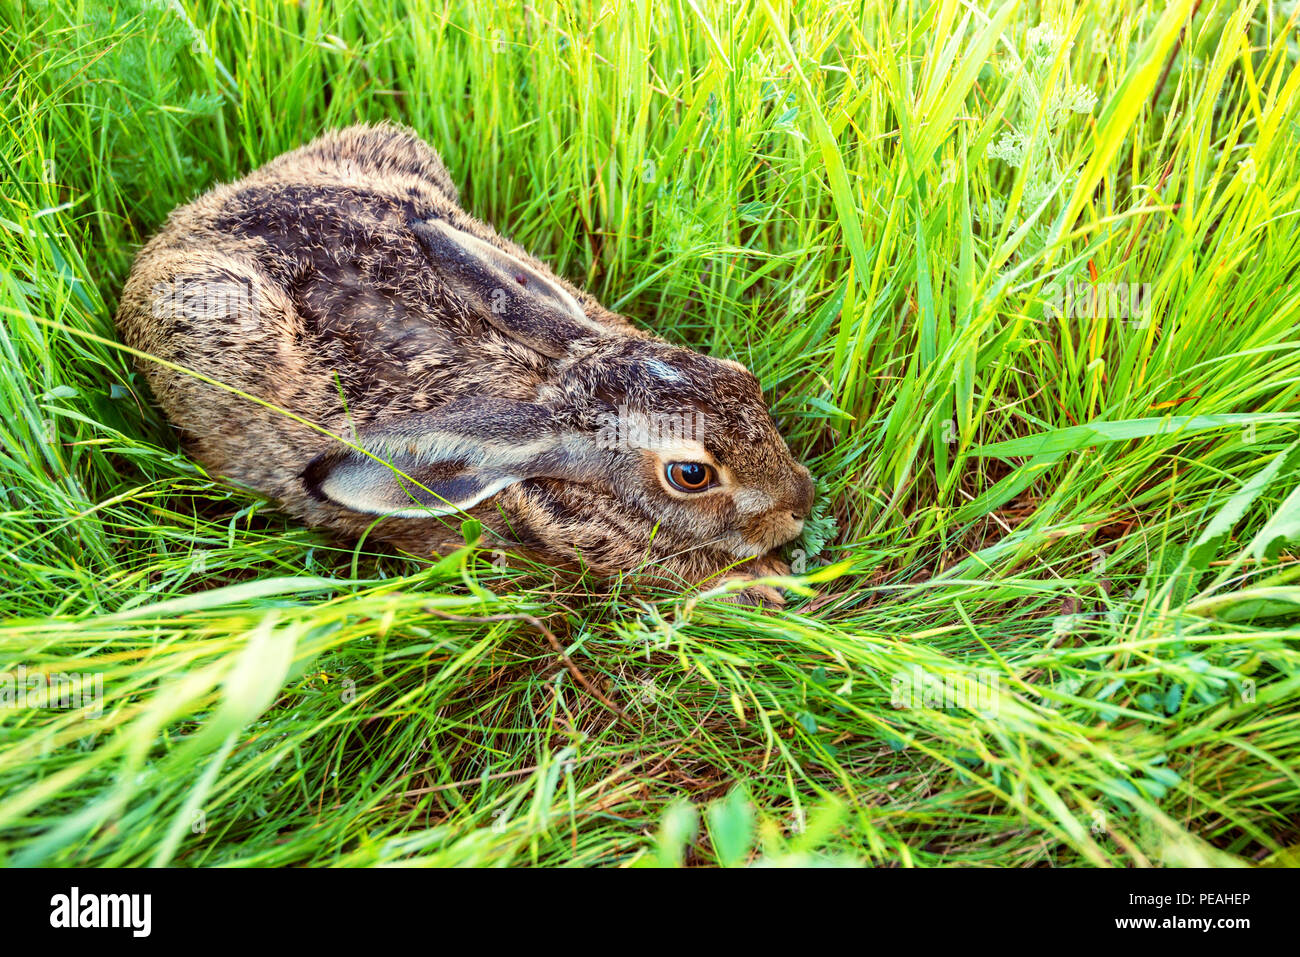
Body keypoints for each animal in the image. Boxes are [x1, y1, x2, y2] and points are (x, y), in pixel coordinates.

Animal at [115, 122, 815, 606]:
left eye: (740, 378)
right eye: (691, 476)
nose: (801, 502)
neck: (552, 393)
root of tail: (184, 227)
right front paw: (767, 583)